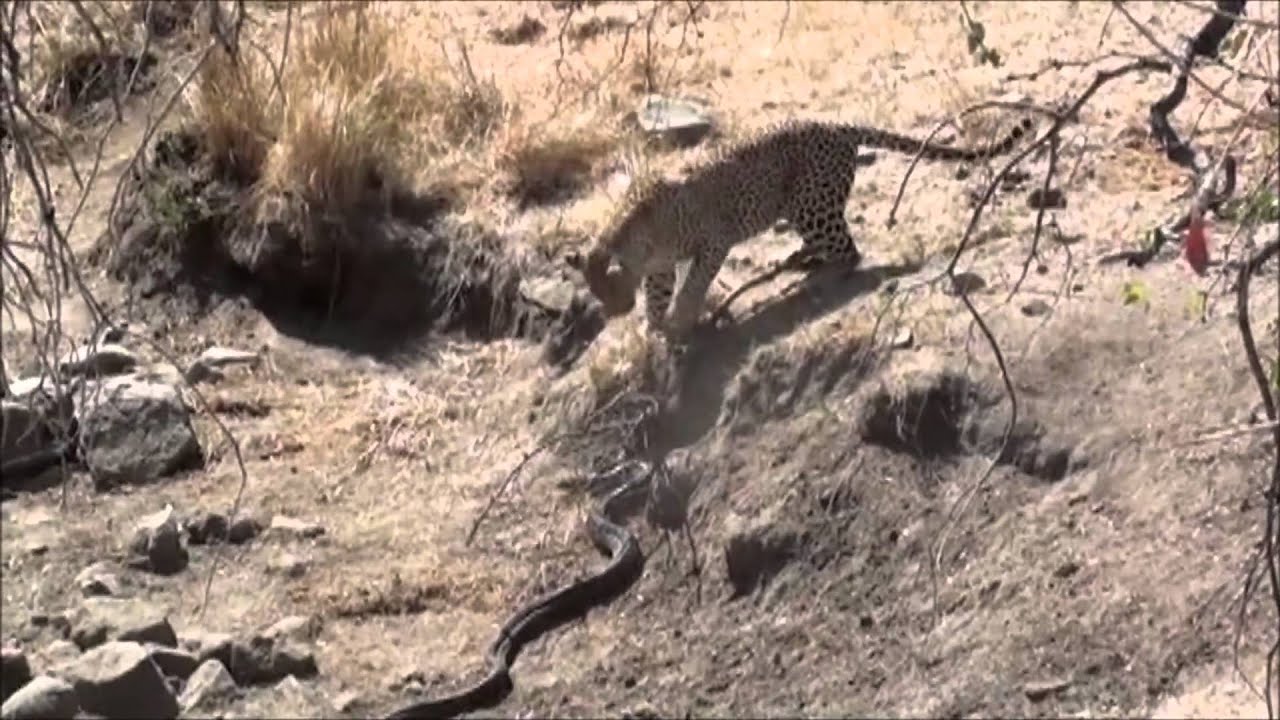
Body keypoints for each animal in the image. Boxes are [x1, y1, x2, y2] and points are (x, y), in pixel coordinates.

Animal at [565, 116, 1035, 341]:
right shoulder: (661, 266)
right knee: (829, 244)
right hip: (803, 209)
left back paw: (820, 274)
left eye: (609, 290)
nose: (614, 312)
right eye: (597, 292)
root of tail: (838, 125)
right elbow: (659, 295)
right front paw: (654, 328)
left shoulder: (712, 242)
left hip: (809, 204)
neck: (632, 236)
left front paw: (680, 321)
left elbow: (693, 284)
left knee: (850, 252)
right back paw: (797, 259)